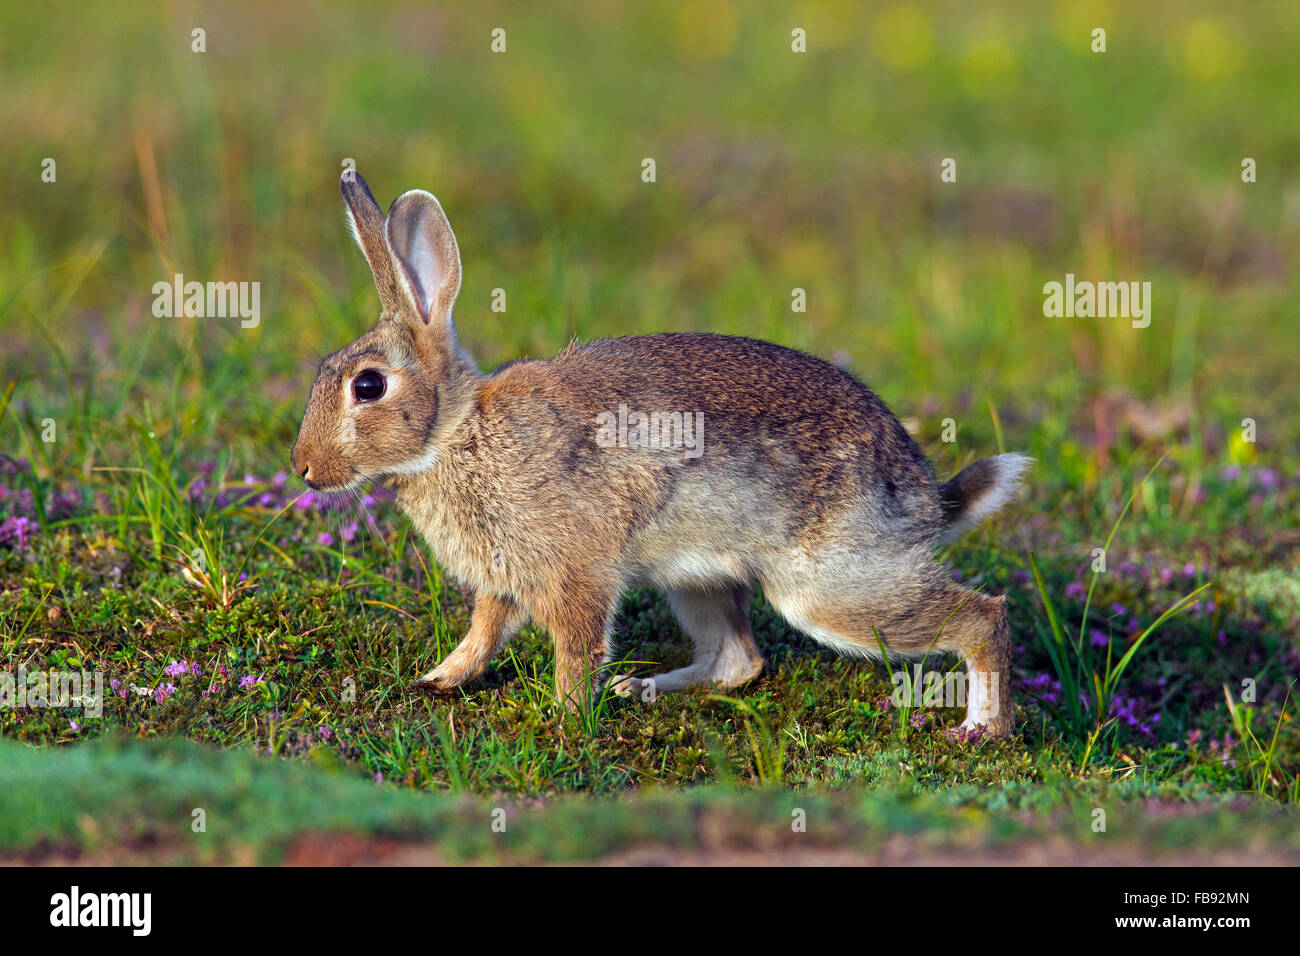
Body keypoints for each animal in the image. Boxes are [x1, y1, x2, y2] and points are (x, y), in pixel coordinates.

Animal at [291, 171, 1032, 736]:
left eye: (367, 386)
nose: (304, 468)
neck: (454, 434)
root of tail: (926, 498)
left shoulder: (575, 572)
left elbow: (576, 647)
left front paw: (565, 720)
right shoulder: (503, 580)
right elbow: (484, 632)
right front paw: (440, 680)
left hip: (829, 588)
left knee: (982, 617)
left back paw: (981, 729)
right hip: (696, 577)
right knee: (740, 661)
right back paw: (641, 690)